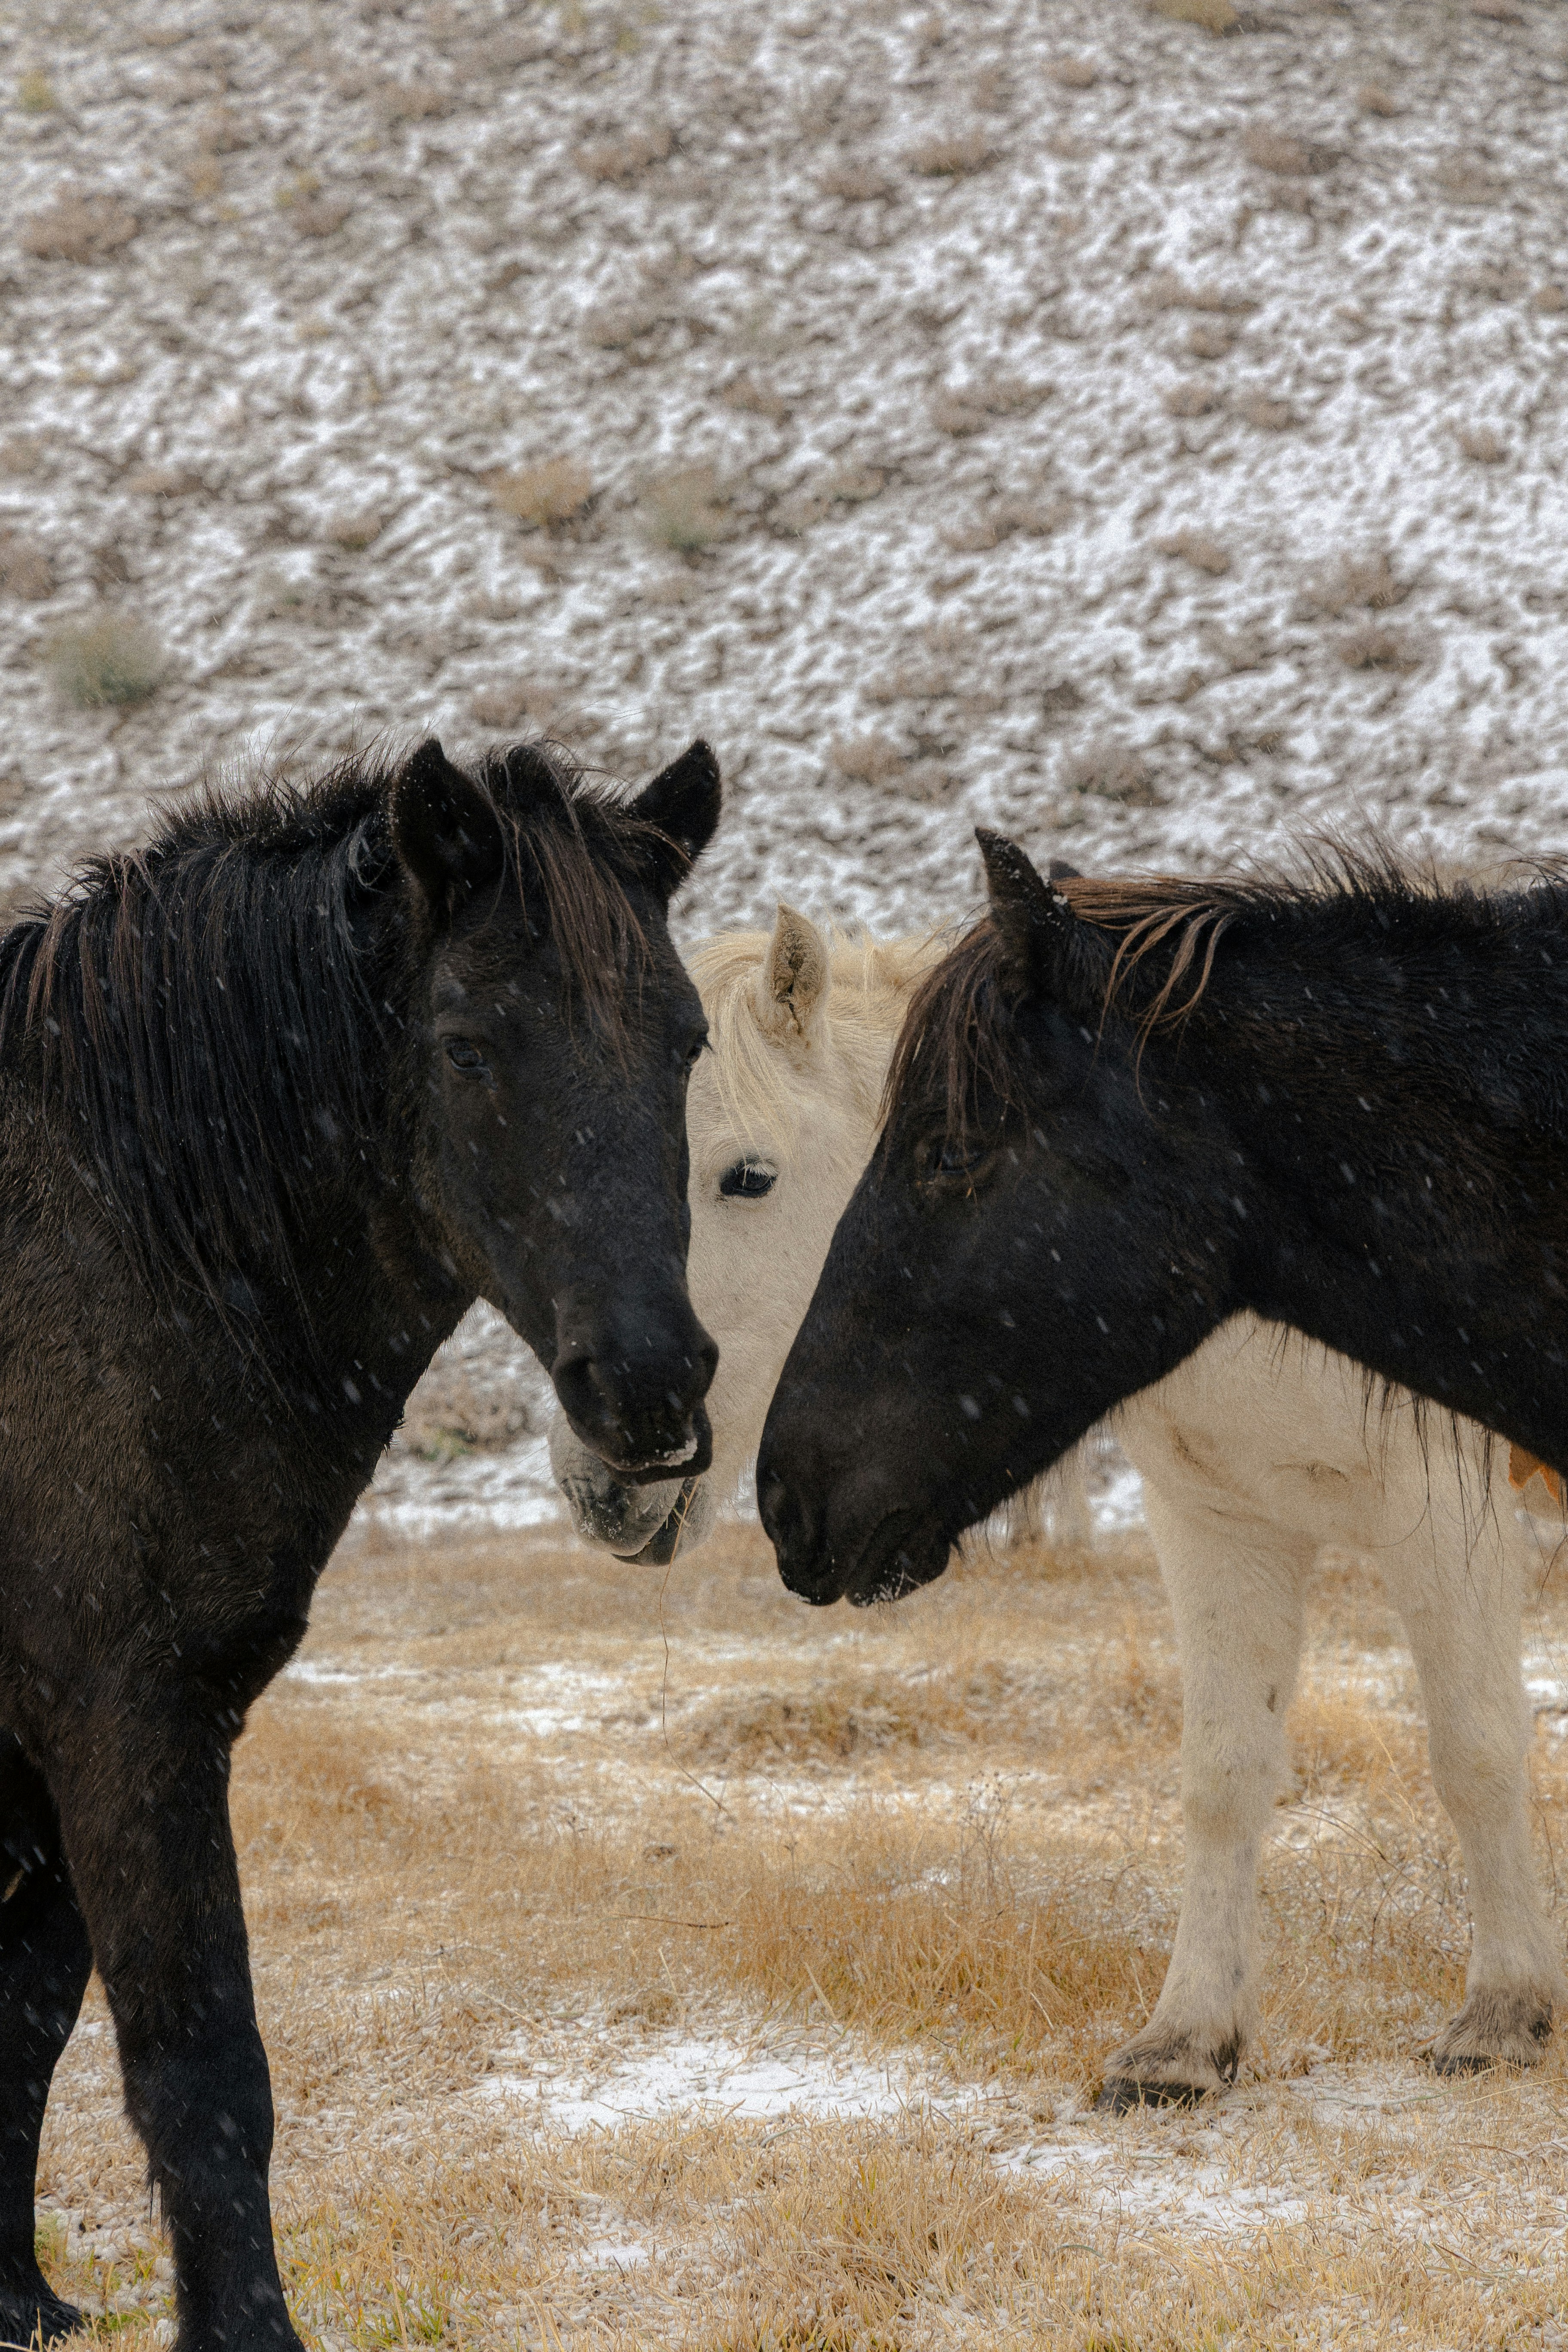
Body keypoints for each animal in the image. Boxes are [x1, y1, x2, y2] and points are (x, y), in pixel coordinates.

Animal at [0, 733, 721, 2351]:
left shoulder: (63, 1747)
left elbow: (22, 2022)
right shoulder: (122, 1721)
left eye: (687, 1045)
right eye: (464, 1046)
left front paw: (13, 2298)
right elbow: (201, 2071)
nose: (650, 1390)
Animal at [555, 903, 1563, 2103]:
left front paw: (1501, 2011)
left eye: (746, 1177)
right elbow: (1222, 1773)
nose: (602, 1477)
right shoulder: (1218, 1527)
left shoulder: (1442, 1519)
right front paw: (1186, 2039)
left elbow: (1476, 1750)